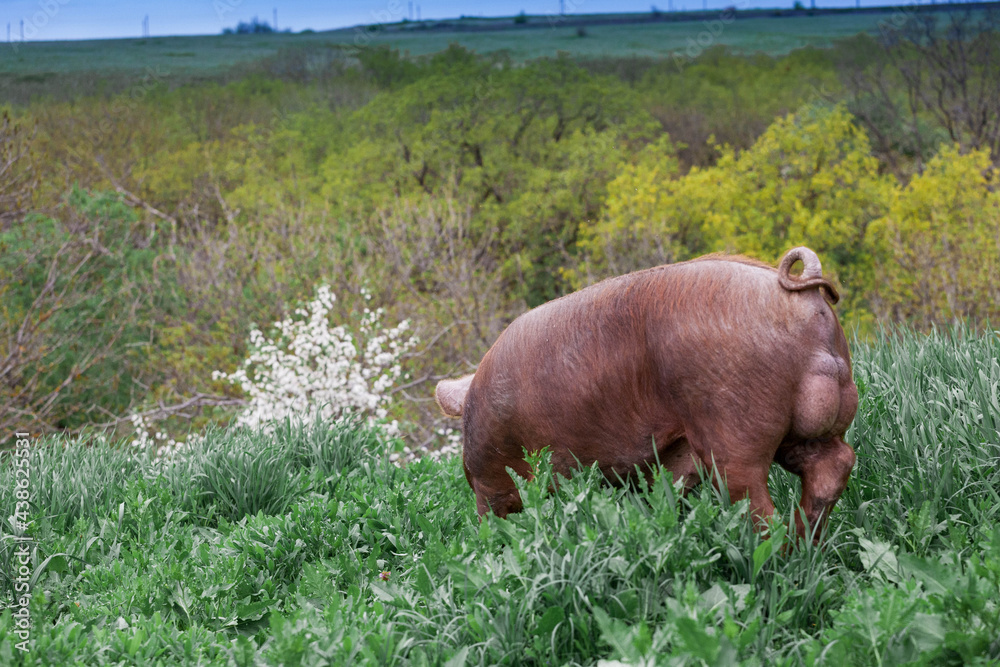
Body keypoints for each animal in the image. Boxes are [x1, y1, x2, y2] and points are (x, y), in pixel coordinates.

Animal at [435, 247, 858, 540]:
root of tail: (802, 296)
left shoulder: (493, 477)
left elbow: (497, 510)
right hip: (813, 425)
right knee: (834, 464)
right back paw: (804, 544)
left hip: (734, 422)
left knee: (756, 500)